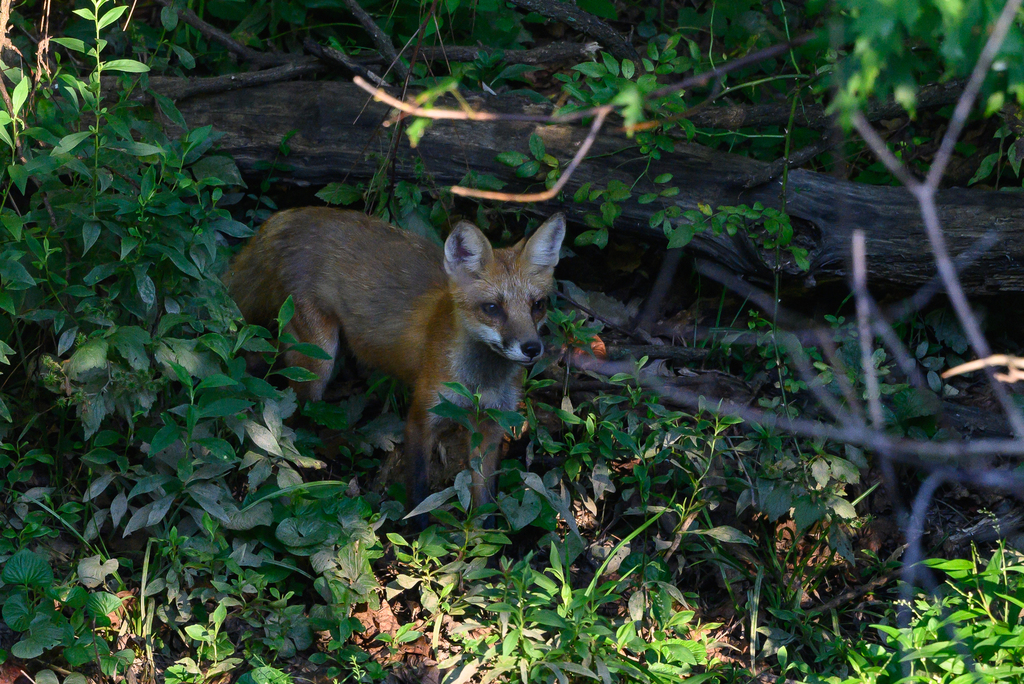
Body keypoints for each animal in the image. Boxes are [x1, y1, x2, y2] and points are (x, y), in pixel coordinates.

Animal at [225, 207, 566, 515]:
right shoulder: (422, 418)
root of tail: (286, 217)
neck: (479, 384)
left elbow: (485, 505)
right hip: (317, 357)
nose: (532, 348)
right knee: (296, 416)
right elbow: (418, 496)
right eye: (493, 308)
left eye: (538, 305)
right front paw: (419, 536)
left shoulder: (493, 426)